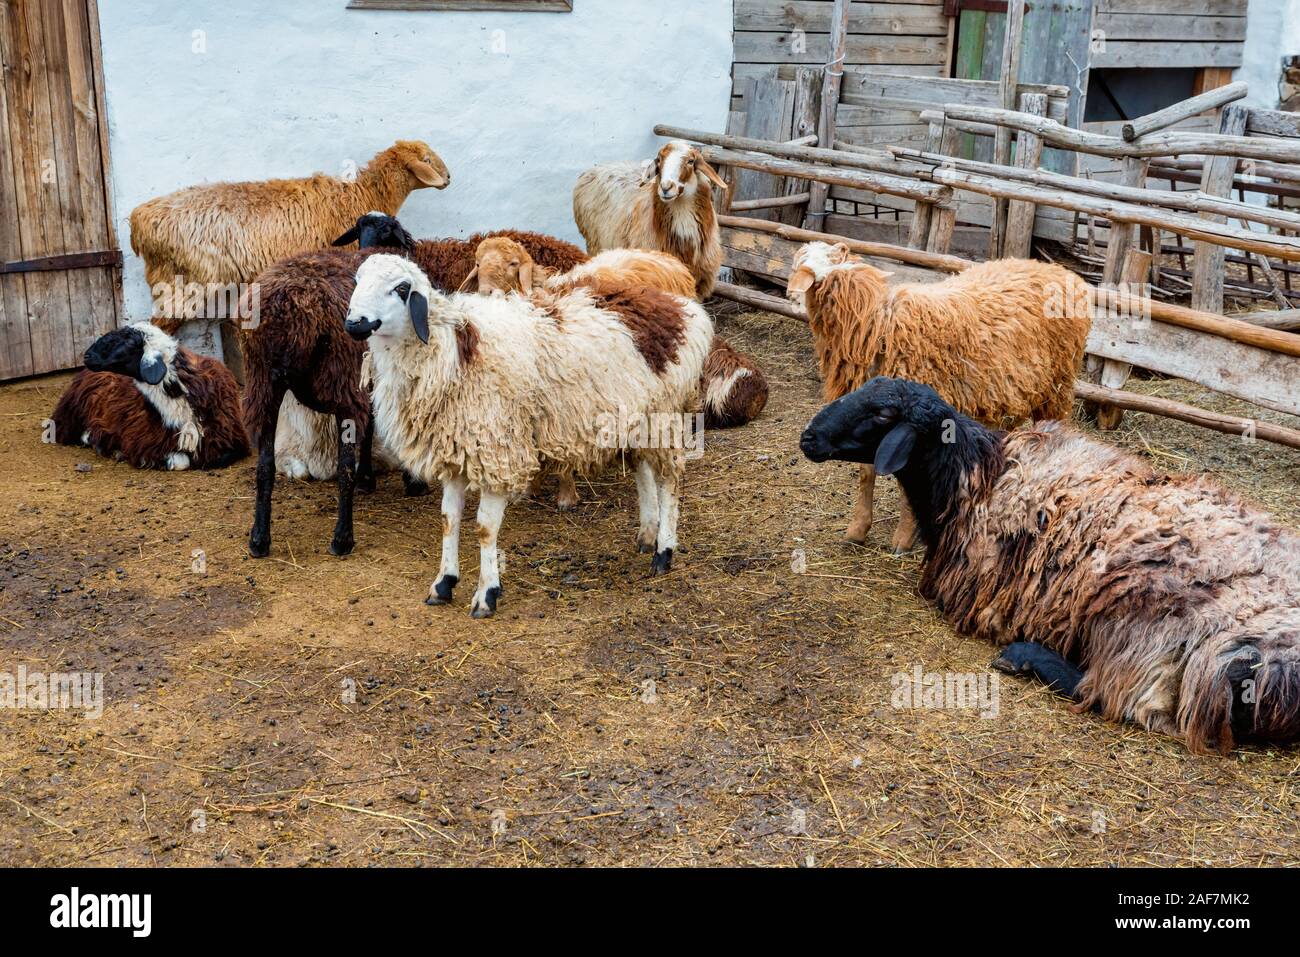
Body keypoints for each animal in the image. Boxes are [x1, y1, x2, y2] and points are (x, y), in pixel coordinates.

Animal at [51, 322, 249, 471]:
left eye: (128, 343)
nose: (87, 356)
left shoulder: (232, 442)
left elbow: (217, 458)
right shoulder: (144, 444)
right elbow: (179, 460)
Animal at [241, 224, 588, 559]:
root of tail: (292, 309)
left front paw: (370, 478)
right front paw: (409, 479)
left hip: (263, 384)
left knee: (264, 466)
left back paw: (259, 539)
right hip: (335, 379)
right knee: (342, 469)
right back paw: (342, 538)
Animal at [344, 253, 713, 618]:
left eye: (401, 288)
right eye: (358, 280)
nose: (354, 323)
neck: (450, 351)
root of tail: (682, 309)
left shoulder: (497, 452)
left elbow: (485, 527)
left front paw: (486, 594)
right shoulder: (456, 450)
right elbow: (449, 519)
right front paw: (443, 583)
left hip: (662, 415)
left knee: (669, 480)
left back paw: (664, 551)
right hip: (637, 417)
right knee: (643, 471)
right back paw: (648, 534)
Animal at [786, 241, 1091, 551]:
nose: (789, 294)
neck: (877, 325)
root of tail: (1060, 271)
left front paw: (903, 539)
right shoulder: (861, 414)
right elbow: (866, 472)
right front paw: (858, 529)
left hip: (1058, 386)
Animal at [801, 376, 1300, 754]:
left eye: (883, 415)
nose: (808, 437)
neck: (980, 472)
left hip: (1148, 620)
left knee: (1125, 697)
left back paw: (1024, 656)